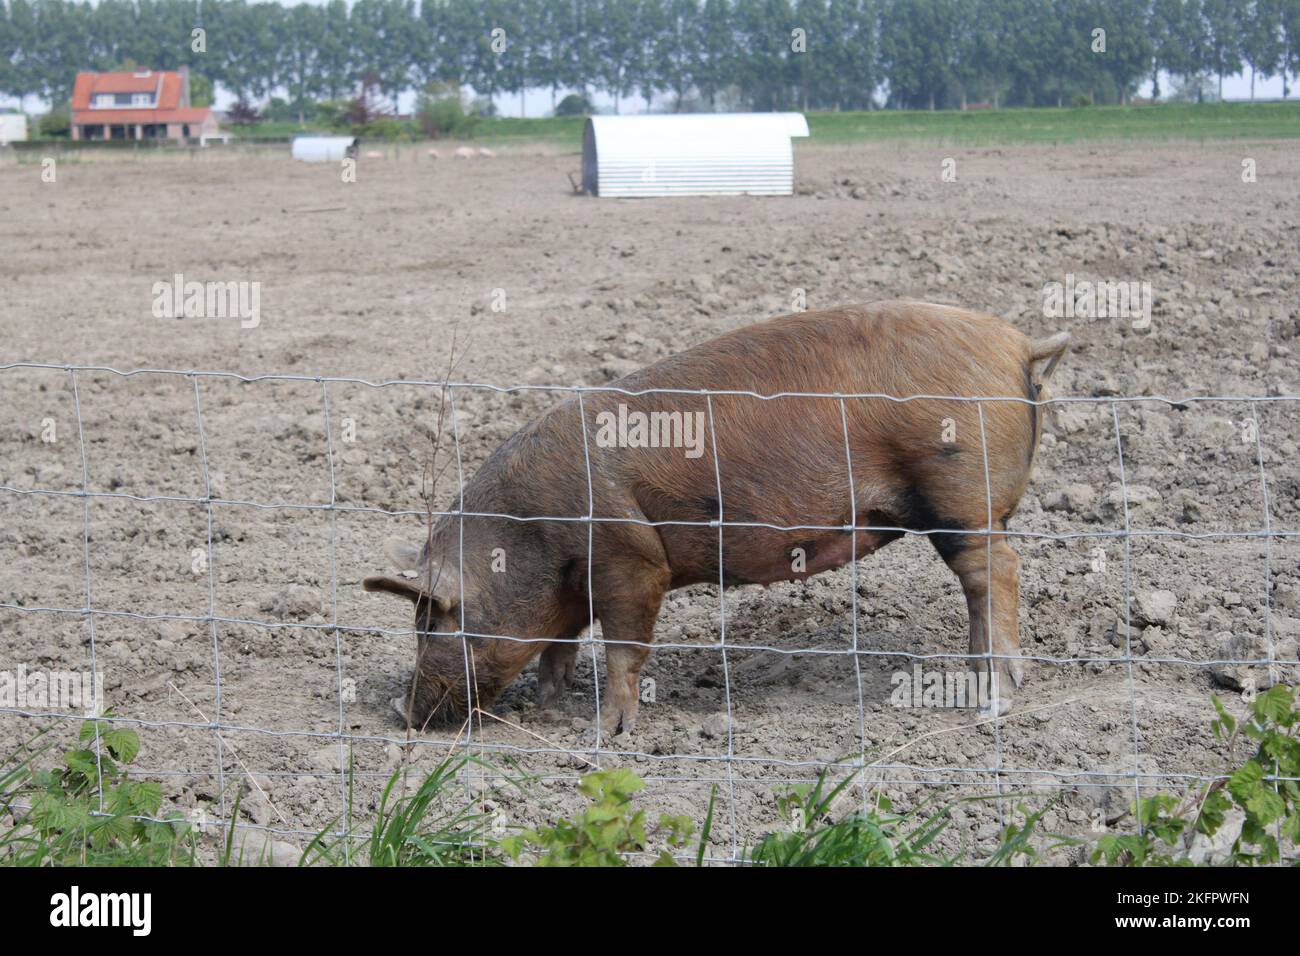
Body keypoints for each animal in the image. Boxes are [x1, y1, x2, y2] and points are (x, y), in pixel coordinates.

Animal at [364, 301, 1069, 734]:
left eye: (431, 620)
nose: (400, 710)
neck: (528, 537)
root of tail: (1017, 342)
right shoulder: (572, 590)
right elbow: (559, 647)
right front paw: (548, 709)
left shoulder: (632, 559)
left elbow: (621, 647)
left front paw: (608, 730)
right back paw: (976, 680)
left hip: (959, 493)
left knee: (996, 570)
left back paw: (995, 698)